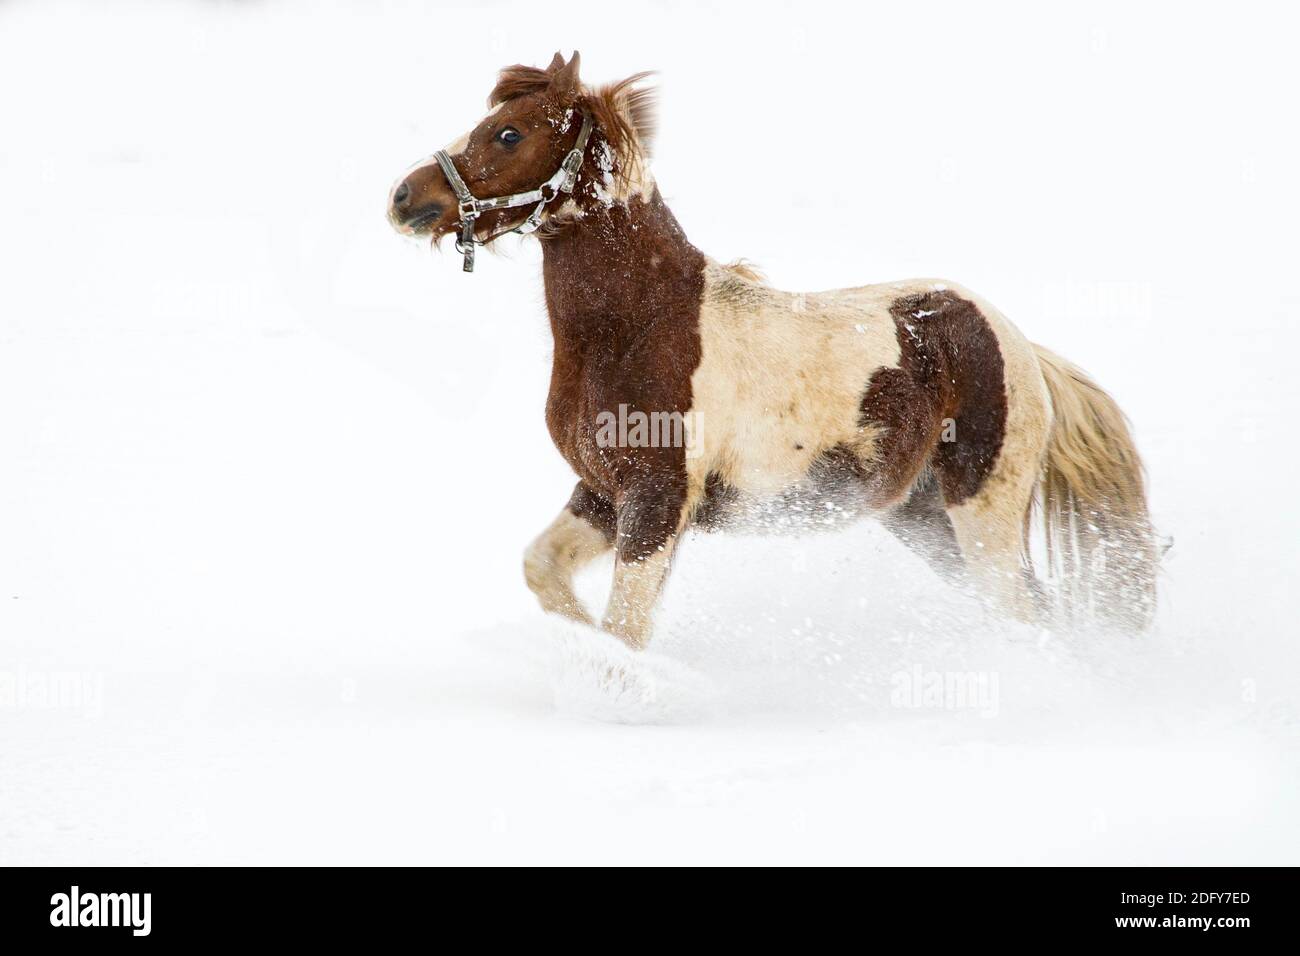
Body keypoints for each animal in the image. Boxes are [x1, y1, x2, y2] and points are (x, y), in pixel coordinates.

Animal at [388, 52, 1157, 649]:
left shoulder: (656, 502)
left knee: (1027, 611)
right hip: (924, 519)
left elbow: (626, 633)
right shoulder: (603, 493)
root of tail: (1020, 347)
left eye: (508, 133)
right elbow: (545, 572)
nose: (404, 197)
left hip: (982, 512)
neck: (641, 327)